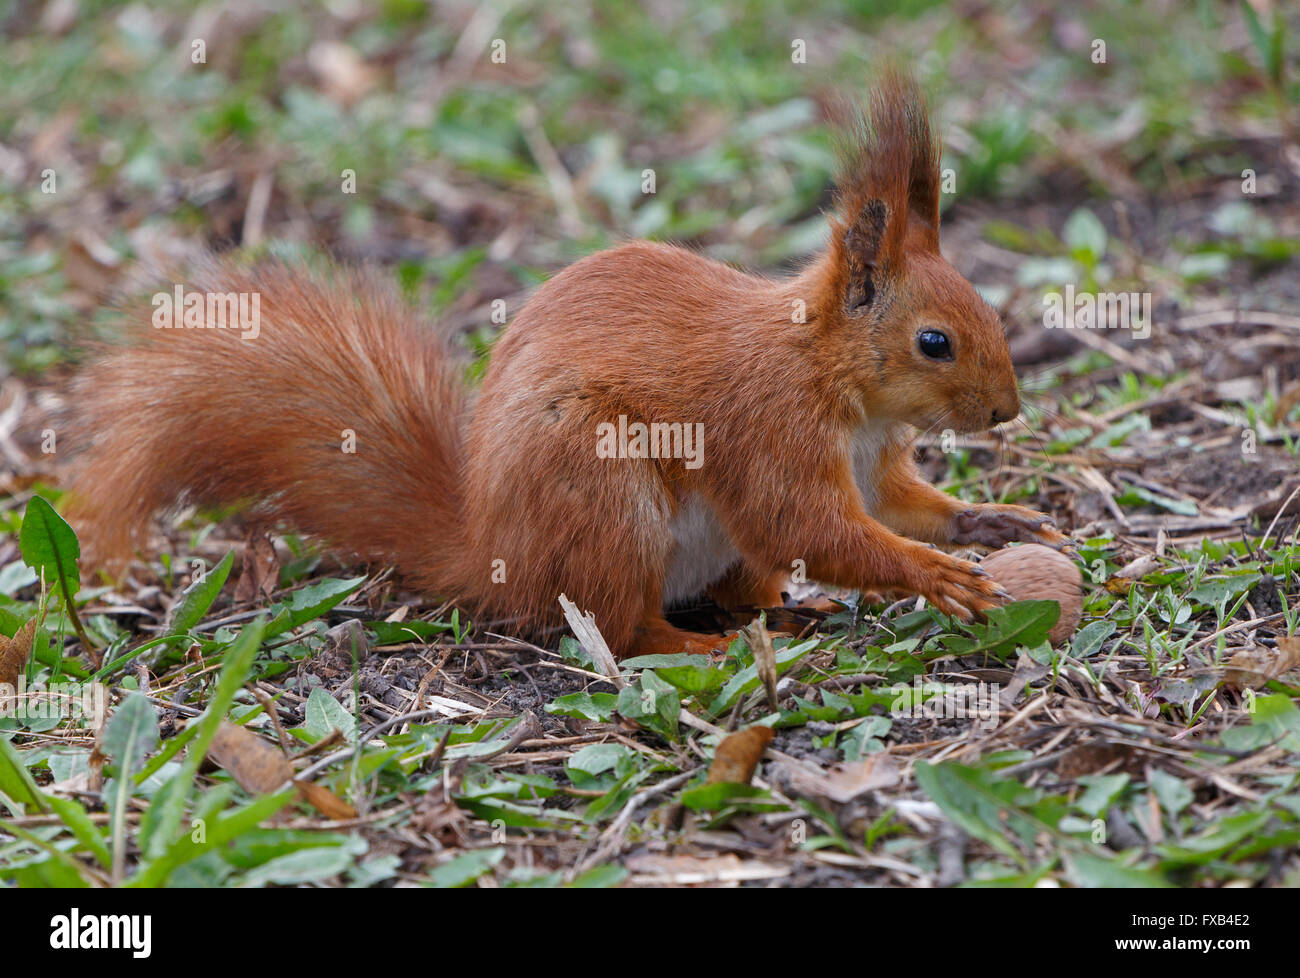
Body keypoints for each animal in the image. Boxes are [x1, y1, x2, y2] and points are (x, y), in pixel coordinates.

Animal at [66, 71, 1067, 659]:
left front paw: (991, 520)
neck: (840, 382)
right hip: (600, 485)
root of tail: (489, 553)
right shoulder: (770, 427)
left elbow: (898, 508)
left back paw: (781, 612)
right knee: (620, 627)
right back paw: (703, 645)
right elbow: (816, 525)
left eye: (985, 309)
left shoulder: (874, 463)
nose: (1006, 412)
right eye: (935, 341)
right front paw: (932, 575)